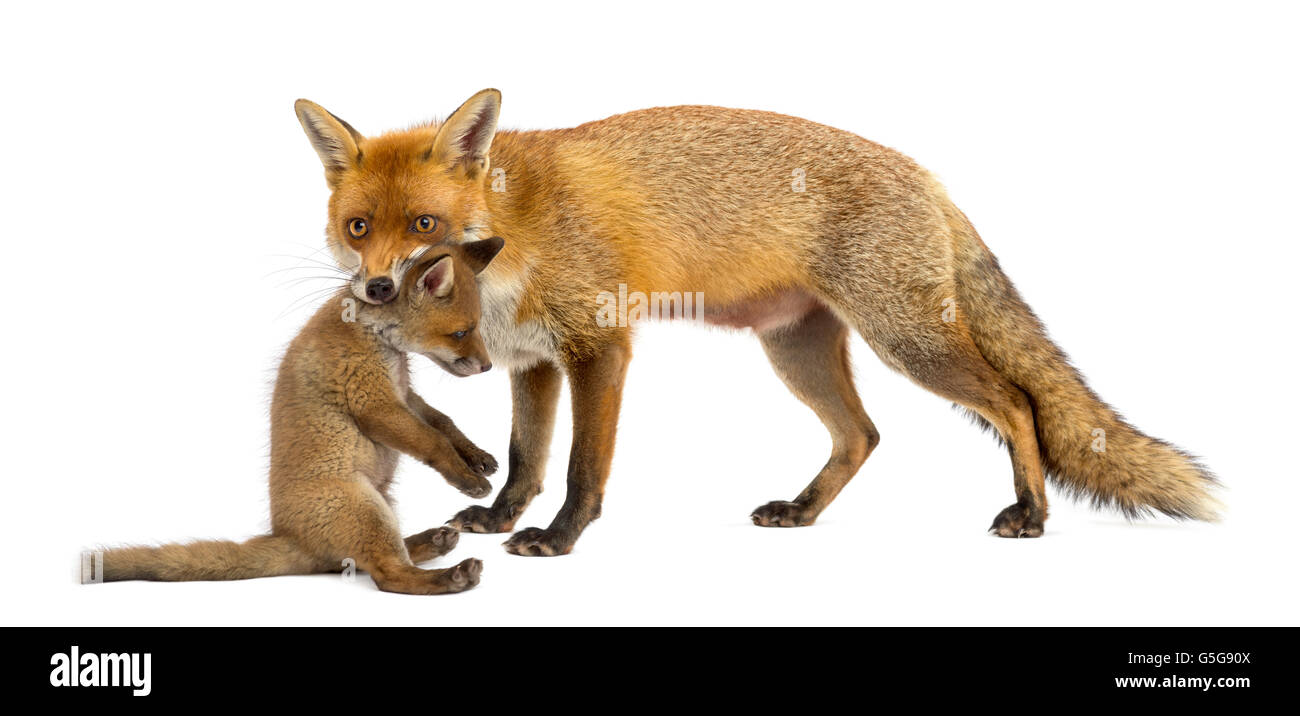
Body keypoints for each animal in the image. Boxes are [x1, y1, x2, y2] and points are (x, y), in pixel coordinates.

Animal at [85, 238, 506, 594]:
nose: (488, 367)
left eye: (477, 328)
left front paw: (476, 456)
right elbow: (432, 440)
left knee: (365, 561)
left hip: (382, 506)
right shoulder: (374, 402)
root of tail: (289, 536)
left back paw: (430, 543)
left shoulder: (403, 393)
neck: (376, 336)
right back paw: (450, 577)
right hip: (364, 508)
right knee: (388, 575)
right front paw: (467, 480)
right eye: (461, 332)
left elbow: (444, 423)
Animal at [293, 89, 1220, 556]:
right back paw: (803, 513)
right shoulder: (533, 362)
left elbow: (583, 467)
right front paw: (497, 519)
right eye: (358, 228)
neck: (513, 237)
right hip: (796, 352)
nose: (375, 289)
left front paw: (556, 539)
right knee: (862, 435)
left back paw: (1030, 514)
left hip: (908, 342)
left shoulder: (601, 346)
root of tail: (927, 175)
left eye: (425, 227)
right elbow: (526, 457)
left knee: (1018, 404)